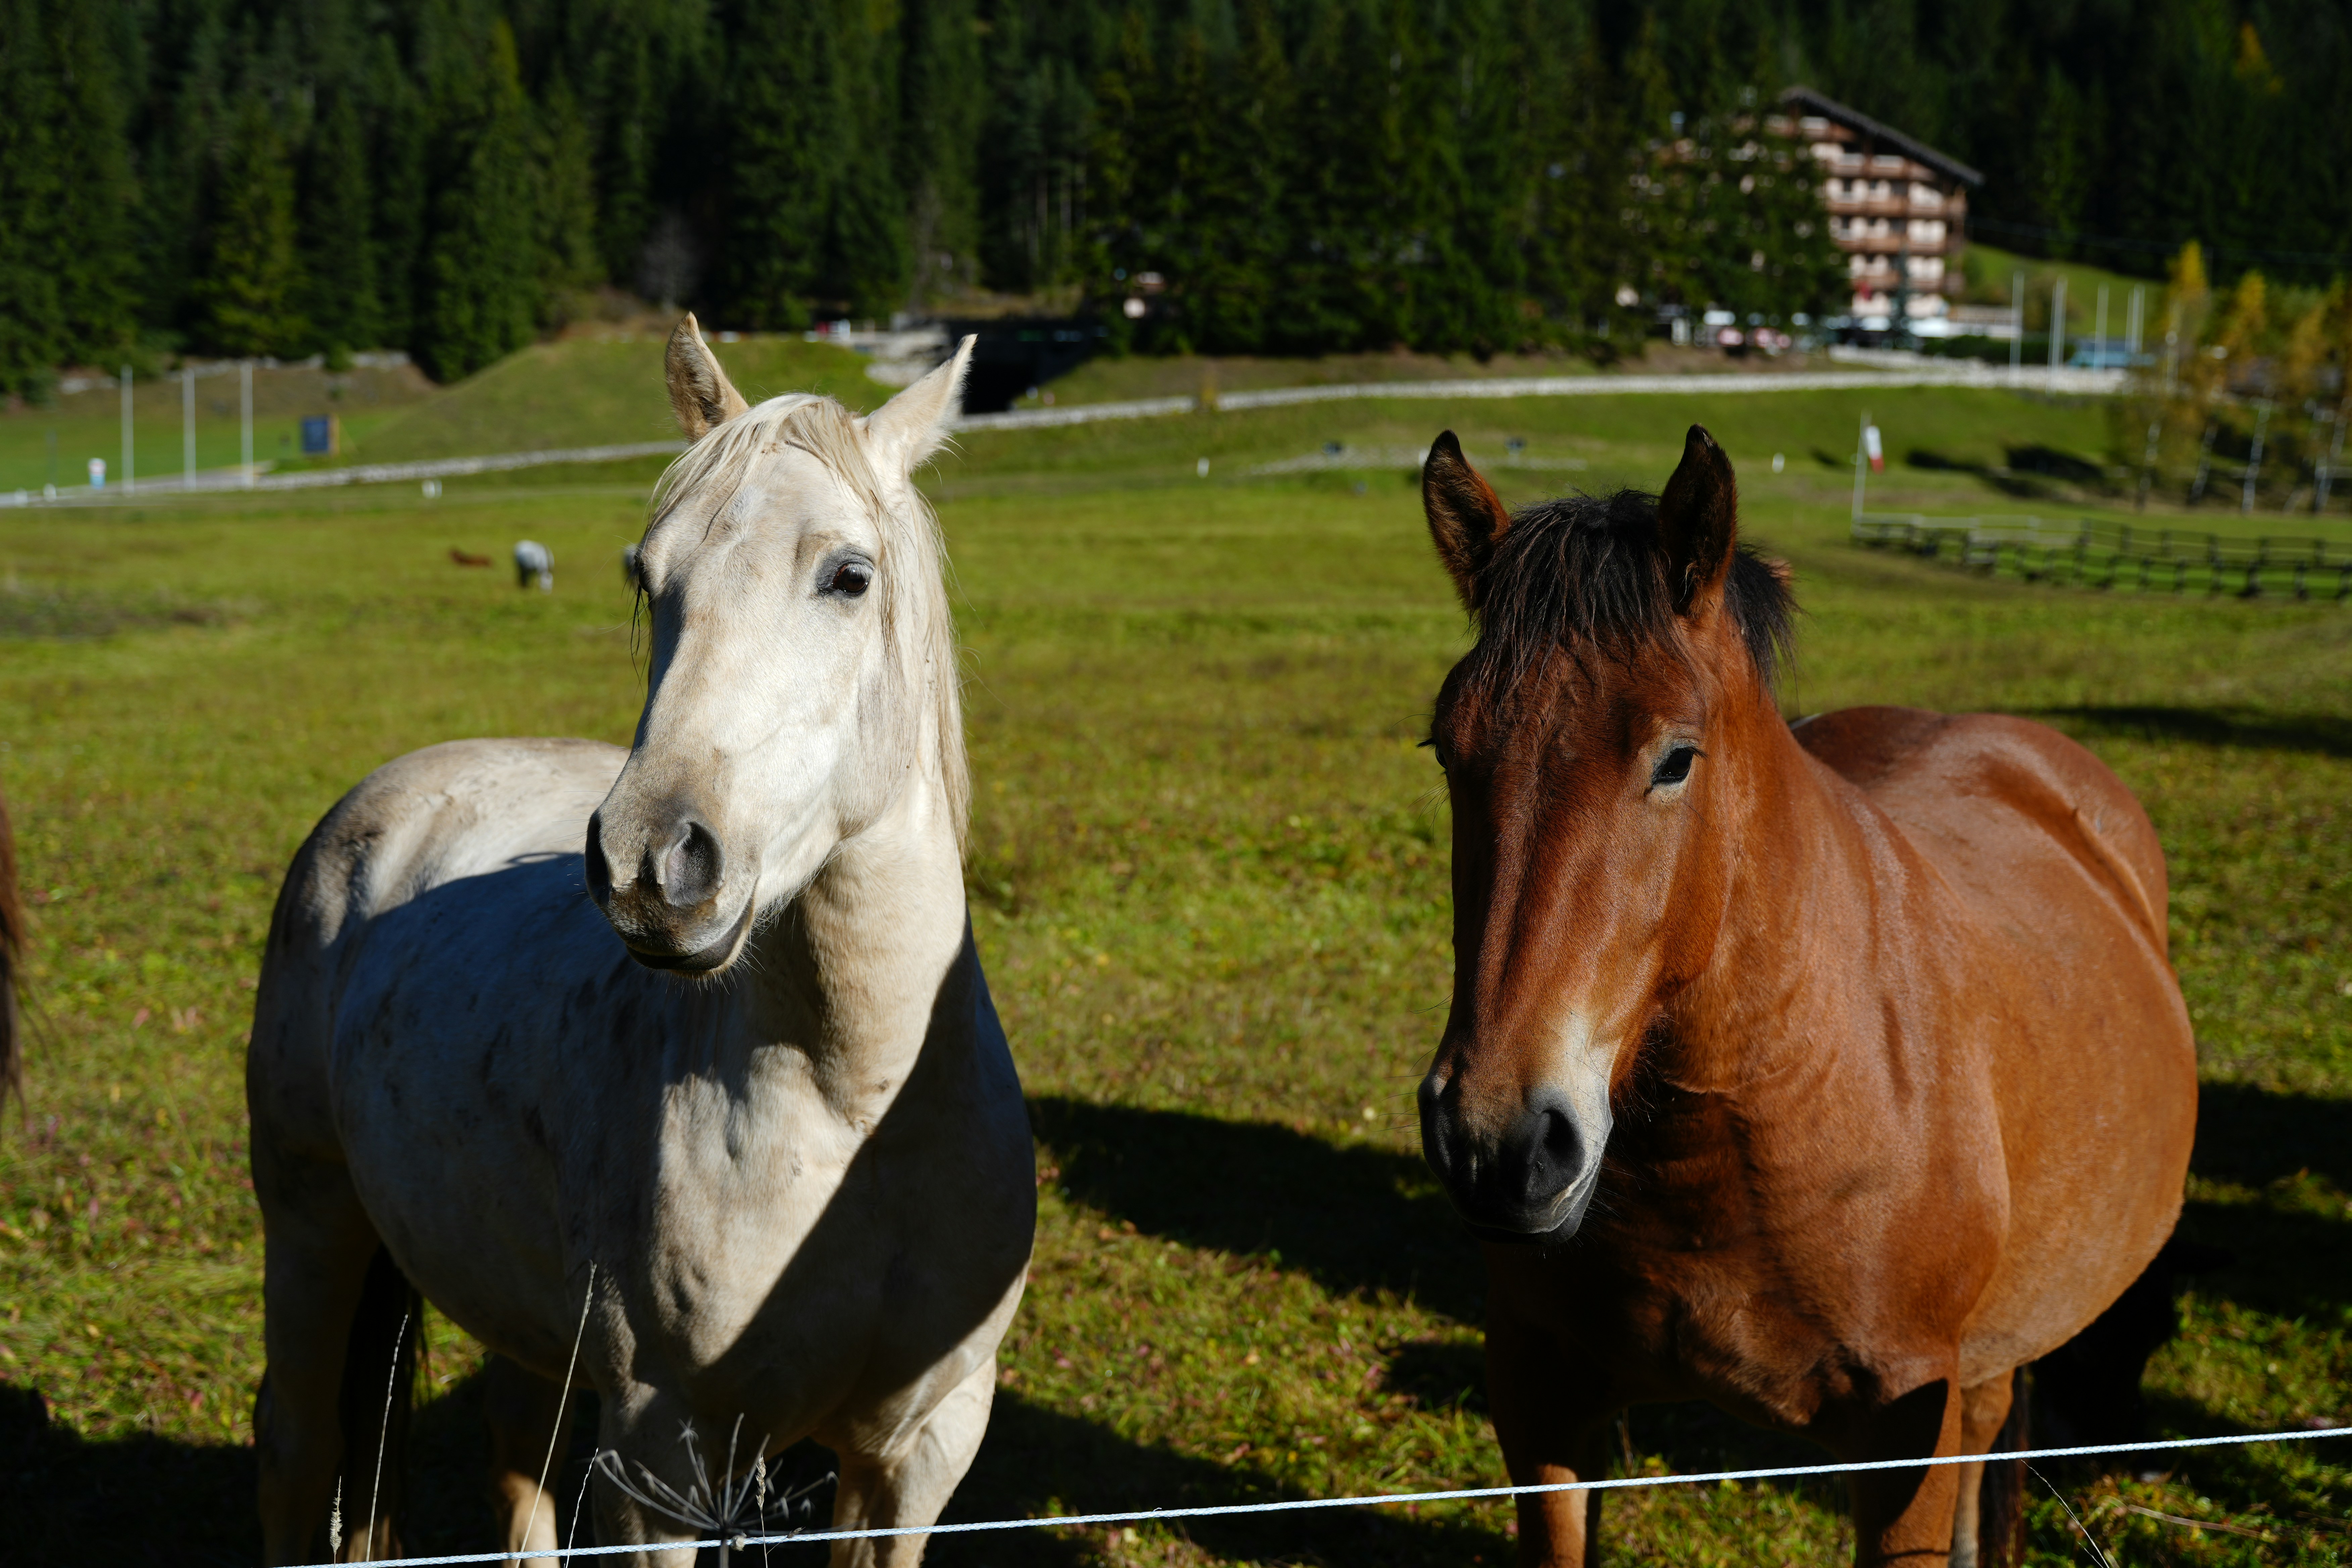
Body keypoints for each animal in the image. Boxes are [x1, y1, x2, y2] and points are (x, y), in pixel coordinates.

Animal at [248, 317, 1033, 1565]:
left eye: (847, 576)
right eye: (648, 577)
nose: (650, 866)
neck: (854, 1109)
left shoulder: (921, 1449)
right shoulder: (661, 1456)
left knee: (514, 1454)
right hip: (311, 1220)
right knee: (296, 1448)